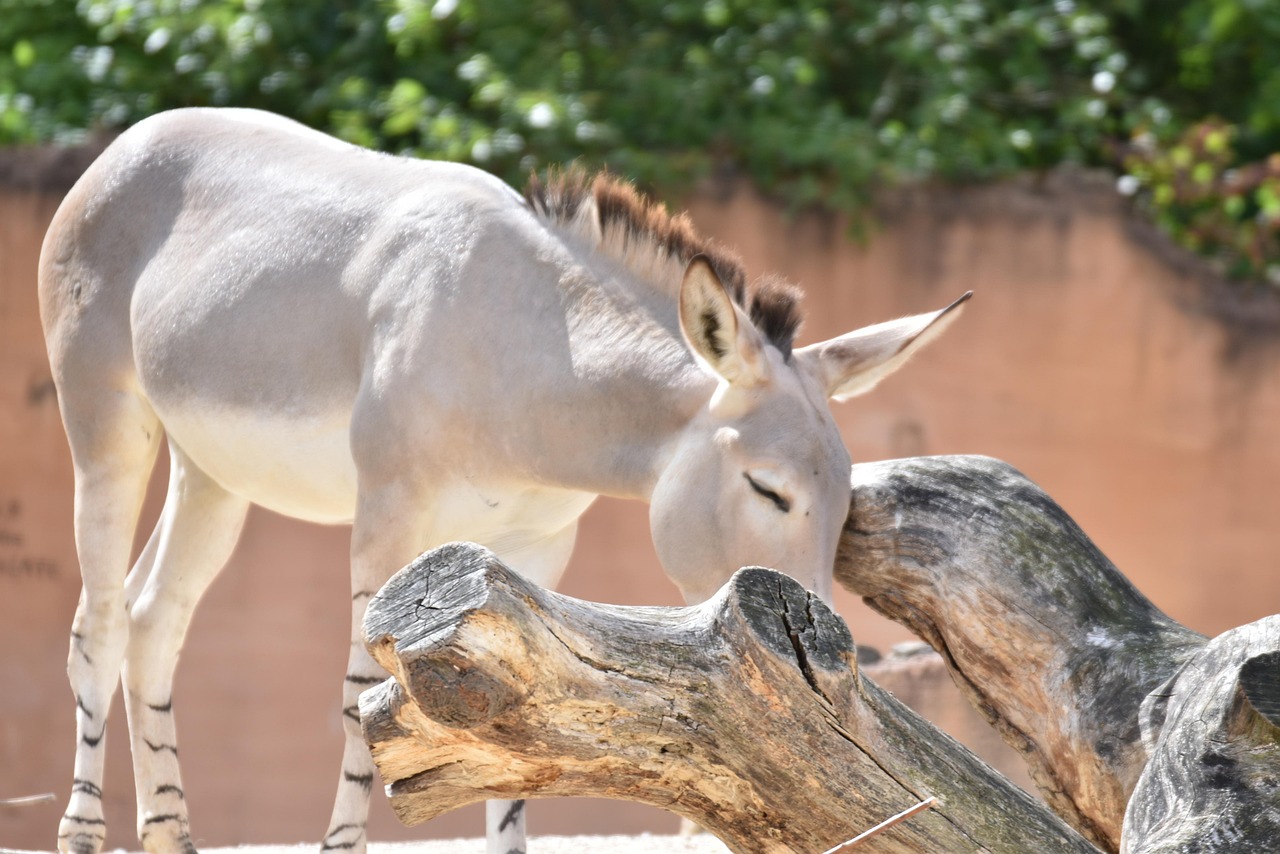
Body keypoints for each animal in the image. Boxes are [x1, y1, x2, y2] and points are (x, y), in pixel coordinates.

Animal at [39, 107, 966, 854]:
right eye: (769, 490)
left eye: (847, 507)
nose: (832, 655)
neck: (531, 347)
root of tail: (133, 135)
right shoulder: (387, 512)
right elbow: (356, 694)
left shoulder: (532, 545)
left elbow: (523, 710)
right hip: (106, 425)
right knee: (100, 624)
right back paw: (82, 830)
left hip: (213, 469)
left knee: (155, 619)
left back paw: (170, 831)